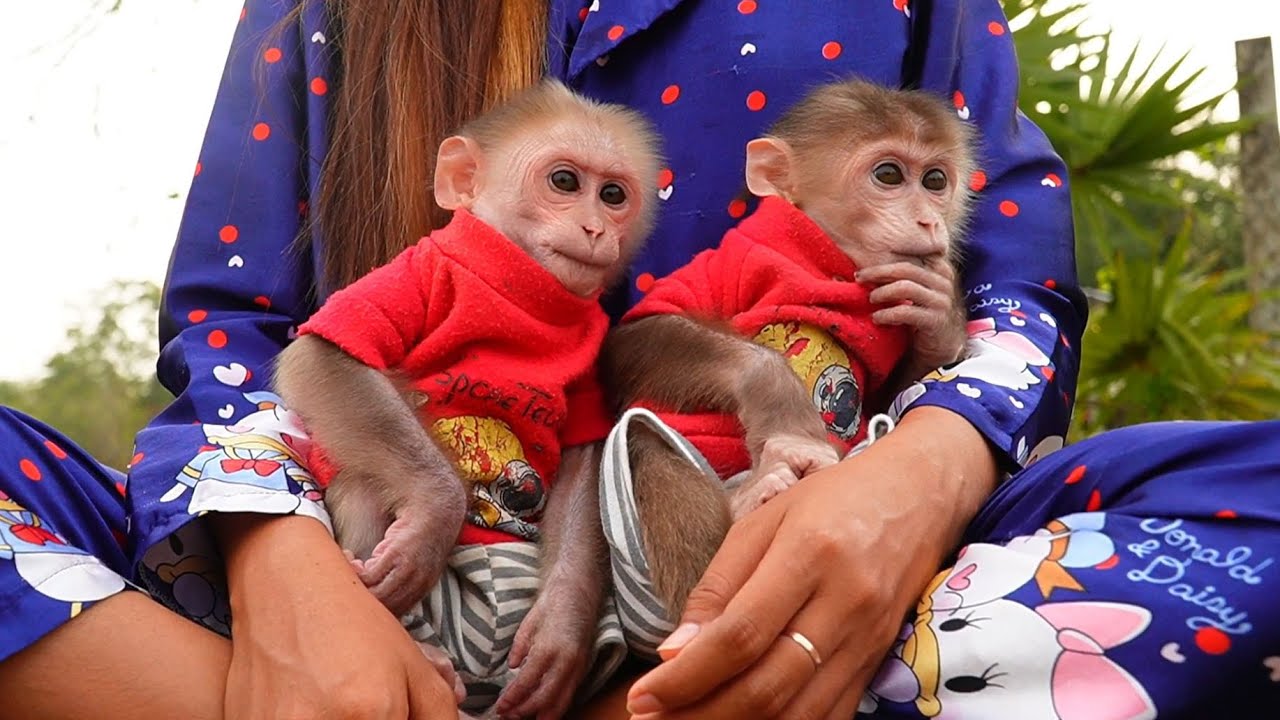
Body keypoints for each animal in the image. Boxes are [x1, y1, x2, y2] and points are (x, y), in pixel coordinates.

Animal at [273, 79, 661, 719]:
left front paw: (560, 628)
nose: (595, 228)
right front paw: (436, 512)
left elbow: (582, 451)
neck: (520, 291)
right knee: (362, 483)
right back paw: (423, 651)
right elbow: (326, 356)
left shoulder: (591, 341)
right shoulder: (420, 268)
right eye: (564, 182)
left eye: (612, 195)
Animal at [600, 78, 978, 621]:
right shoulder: (740, 256)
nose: (929, 220)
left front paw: (941, 317)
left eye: (935, 180)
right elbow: (634, 336)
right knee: (647, 445)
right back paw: (749, 499)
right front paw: (780, 402)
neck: (828, 259)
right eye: (889, 174)